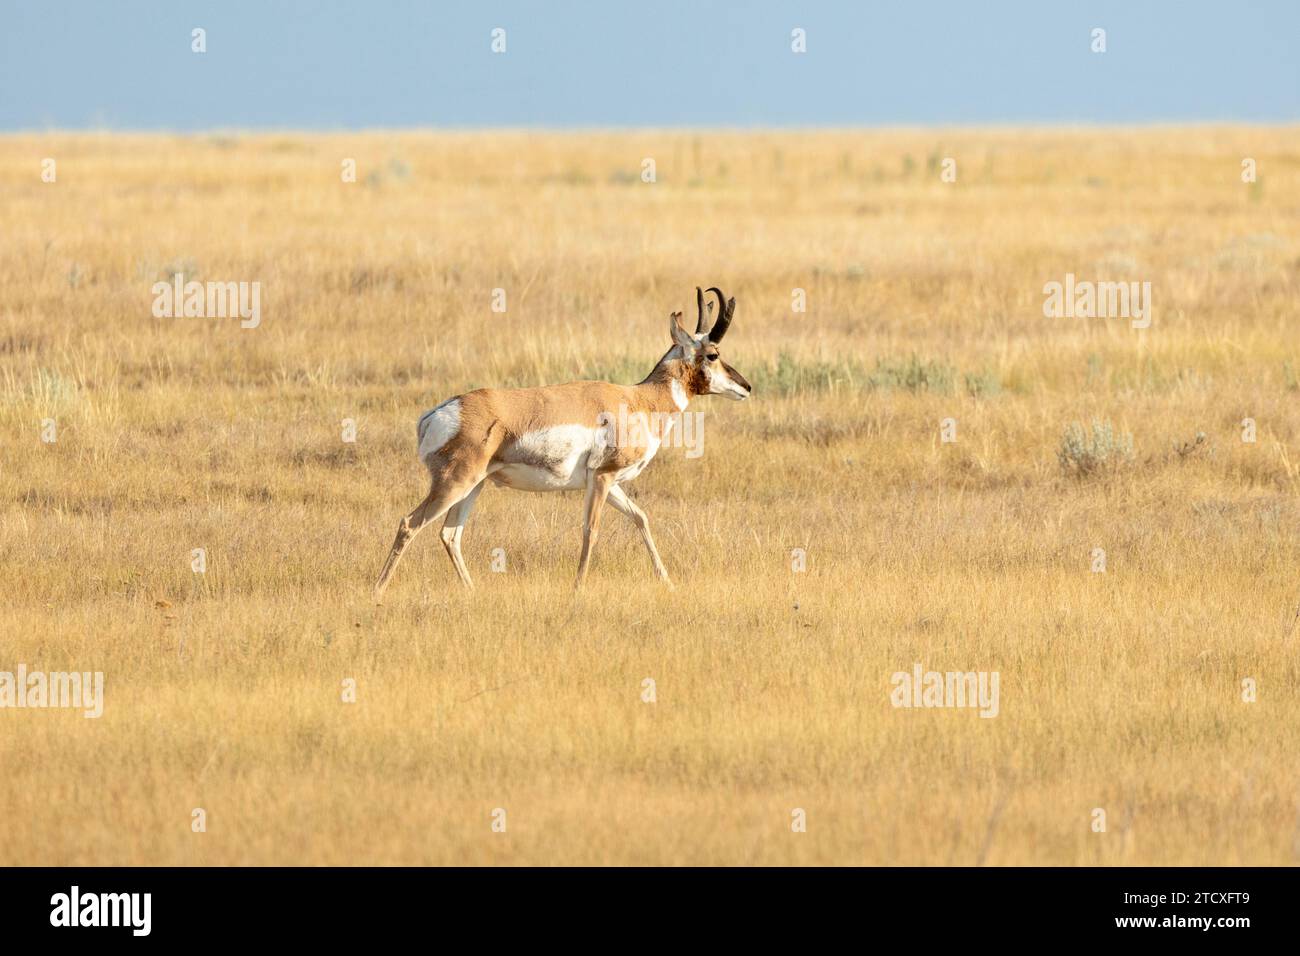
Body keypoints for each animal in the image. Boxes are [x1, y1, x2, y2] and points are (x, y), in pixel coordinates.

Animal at [372, 287, 752, 600]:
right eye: (713, 354)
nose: (746, 387)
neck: (638, 399)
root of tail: (438, 413)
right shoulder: (602, 478)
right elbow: (591, 530)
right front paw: (577, 589)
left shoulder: (609, 483)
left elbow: (641, 517)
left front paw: (668, 582)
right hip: (454, 484)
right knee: (410, 524)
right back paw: (377, 590)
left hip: (473, 487)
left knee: (450, 535)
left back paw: (472, 590)